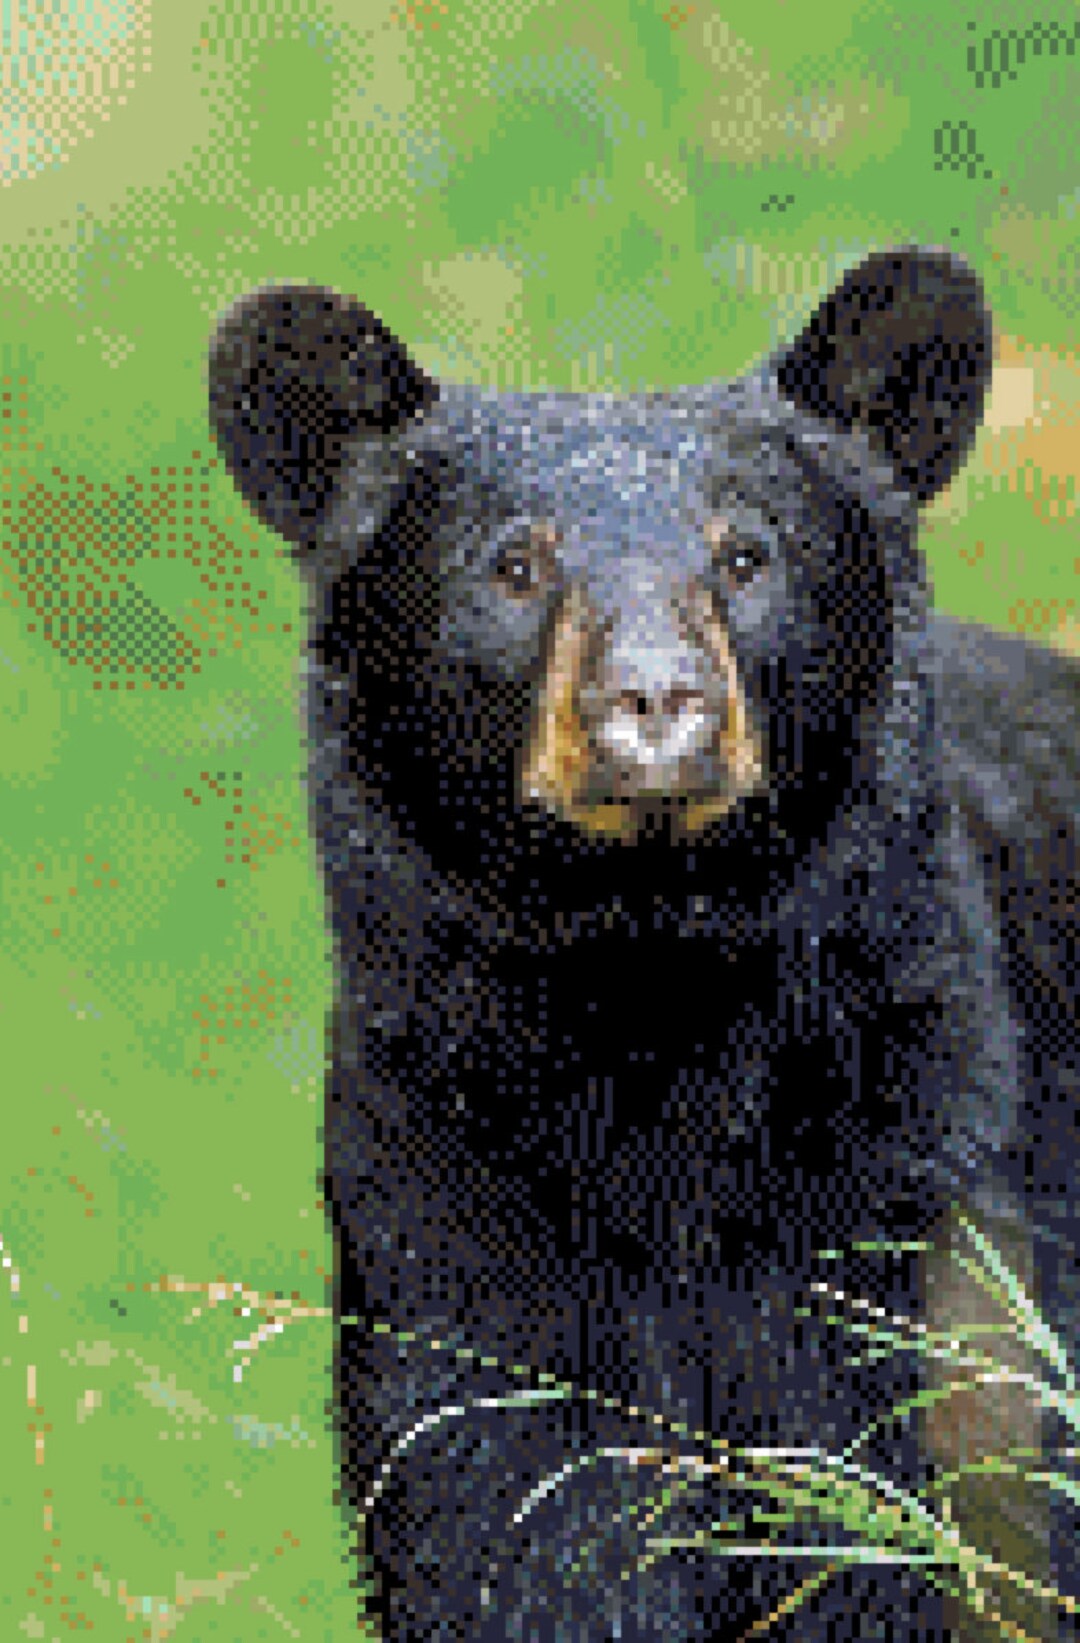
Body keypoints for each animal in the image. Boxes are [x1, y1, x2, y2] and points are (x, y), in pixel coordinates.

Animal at [208, 248, 1078, 1642]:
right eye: (513, 563)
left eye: (748, 551)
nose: (658, 701)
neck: (652, 991)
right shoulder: (450, 1216)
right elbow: (517, 1533)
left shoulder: (920, 1196)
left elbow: (941, 1501)